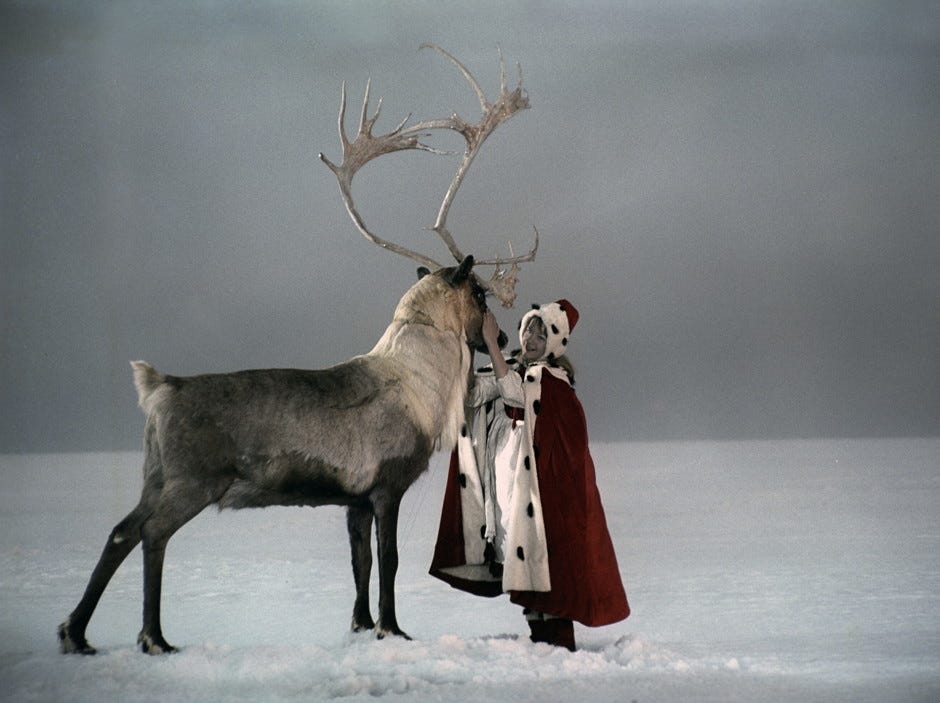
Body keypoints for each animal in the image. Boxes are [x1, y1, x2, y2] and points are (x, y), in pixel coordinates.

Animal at [58, 44, 537, 655]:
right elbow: (389, 561)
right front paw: (393, 628)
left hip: (155, 471)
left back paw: (76, 632)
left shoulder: (354, 499)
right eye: (480, 294)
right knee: (150, 532)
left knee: (122, 529)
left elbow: (359, 564)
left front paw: (360, 625)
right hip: (194, 479)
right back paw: (153, 637)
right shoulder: (387, 485)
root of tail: (159, 387)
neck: (422, 387)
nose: (500, 339)